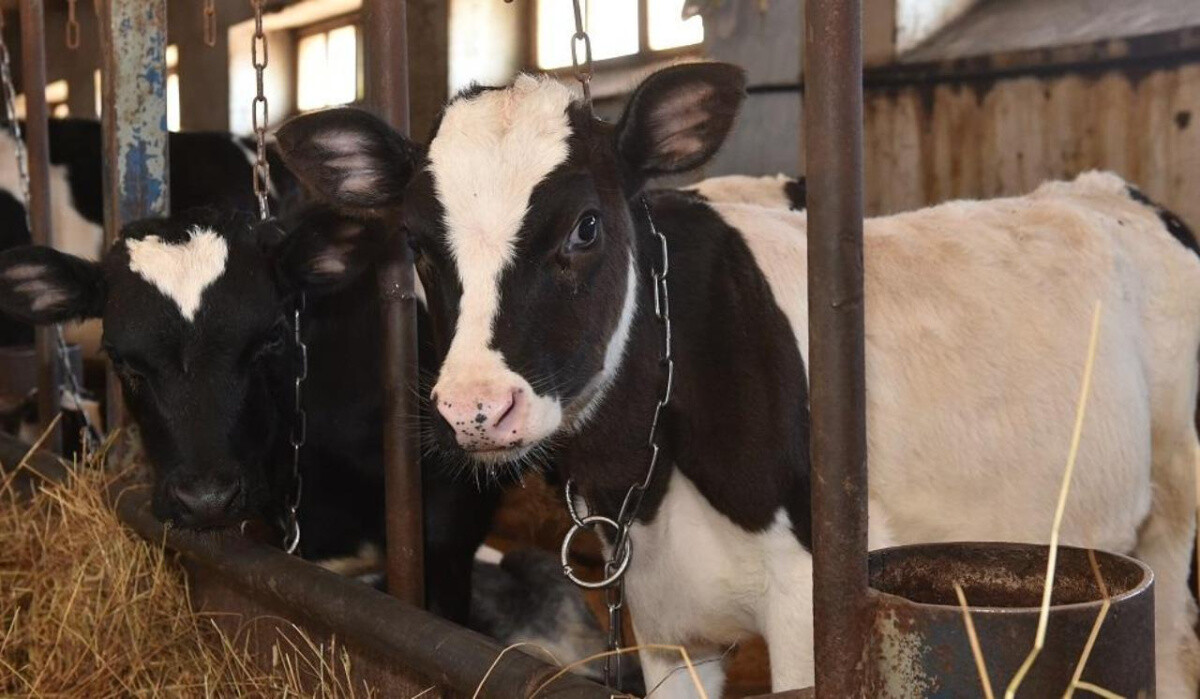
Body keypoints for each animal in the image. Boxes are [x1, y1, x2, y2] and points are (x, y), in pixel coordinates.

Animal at [272, 63, 1200, 696]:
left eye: (586, 227)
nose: (473, 406)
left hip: (1173, 522)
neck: (650, 469)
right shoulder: (664, 625)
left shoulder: (810, 611)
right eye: (420, 245)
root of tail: (1108, 190)